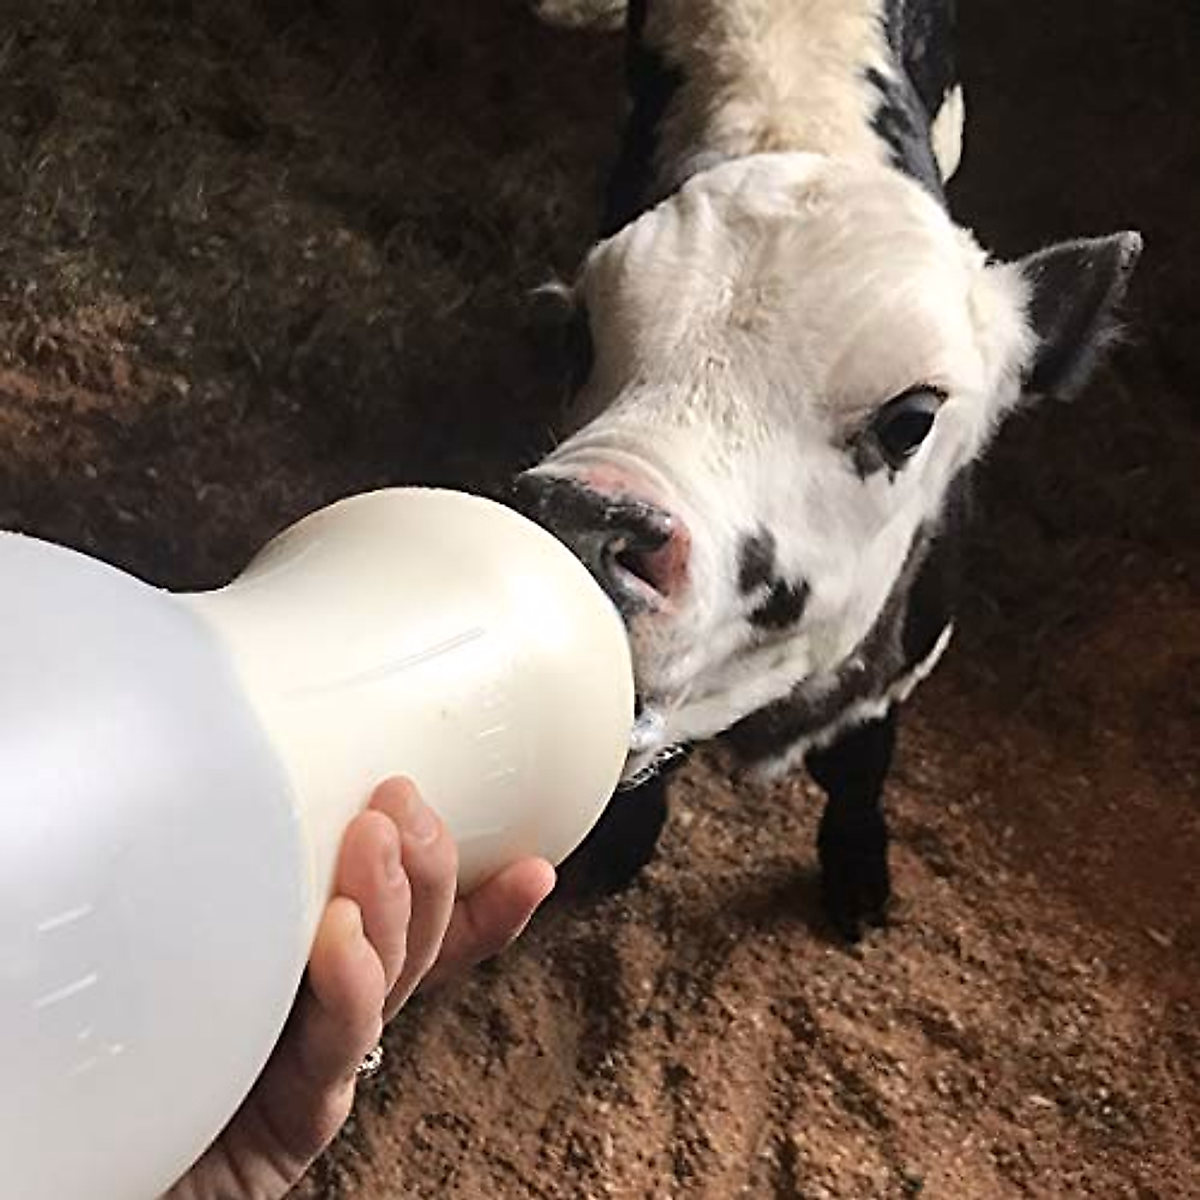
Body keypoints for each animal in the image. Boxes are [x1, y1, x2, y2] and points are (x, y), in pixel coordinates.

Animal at [515, 0, 1142, 939]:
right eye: (580, 339)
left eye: (912, 419)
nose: (579, 522)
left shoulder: (902, 662)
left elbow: (860, 765)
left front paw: (857, 868)